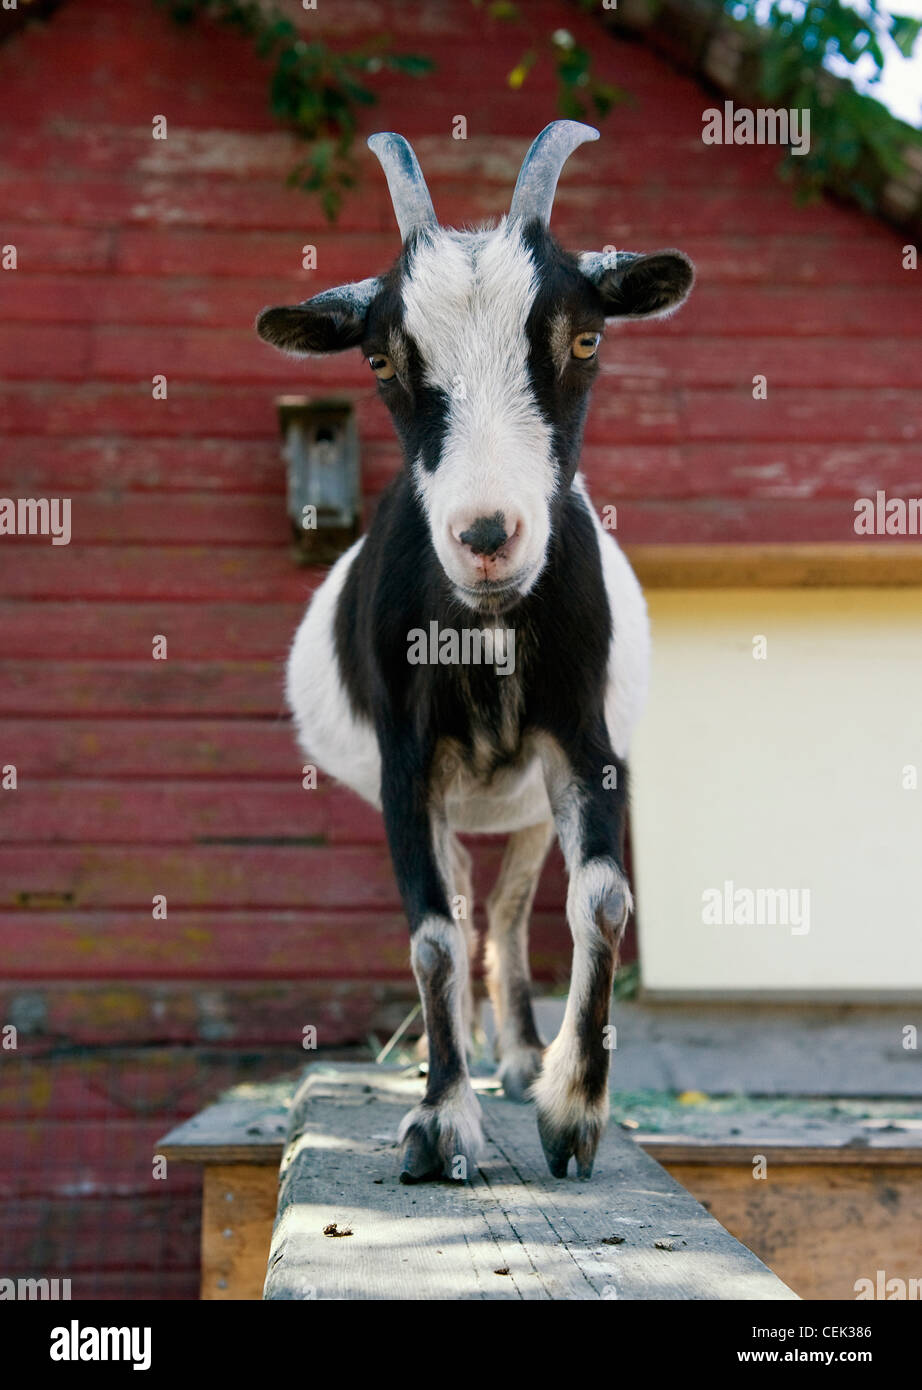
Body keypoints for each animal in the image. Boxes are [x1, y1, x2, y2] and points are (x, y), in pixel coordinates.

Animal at [256, 122, 693, 1182]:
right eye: (381, 361)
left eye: (586, 339)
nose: (487, 535)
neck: (484, 618)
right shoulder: (405, 763)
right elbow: (430, 938)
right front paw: (439, 1121)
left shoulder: (585, 740)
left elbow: (603, 900)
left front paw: (572, 1109)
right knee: (461, 906)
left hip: (528, 798)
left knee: (505, 907)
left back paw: (523, 1056)